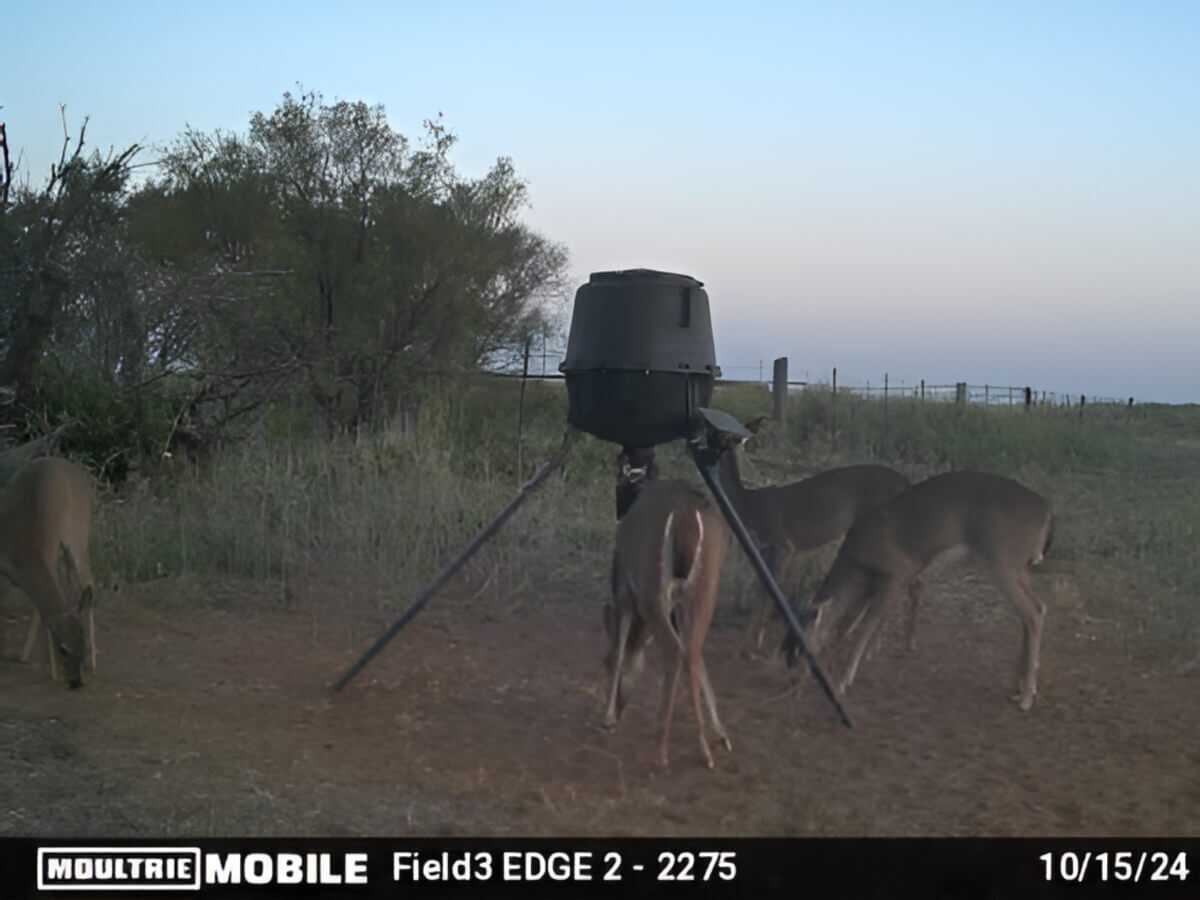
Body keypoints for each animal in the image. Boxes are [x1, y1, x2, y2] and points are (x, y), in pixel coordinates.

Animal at [0, 456, 97, 688]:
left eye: (82, 645)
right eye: (63, 649)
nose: (76, 682)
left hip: (71, 536)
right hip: (74, 539)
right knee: (83, 583)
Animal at [602, 478, 731, 770]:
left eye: (601, 662)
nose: (620, 705)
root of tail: (687, 515)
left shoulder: (625, 593)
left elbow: (619, 651)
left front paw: (608, 718)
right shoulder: (677, 606)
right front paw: (721, 734)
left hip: (652, 586)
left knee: (674, 650)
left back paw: (661, 749)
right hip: (706, 587)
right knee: (692, 651)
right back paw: (705, 749)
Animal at [714, 417, 913, 655]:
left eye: (741, 440)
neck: (748, 505)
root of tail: (905, 482)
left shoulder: (784, 545)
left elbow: (768, 590)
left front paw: (752, 644)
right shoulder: (770, 548)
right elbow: (765, 586)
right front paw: (757, 638)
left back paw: (890, 643)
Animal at [785, 470, 1055, 710]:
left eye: (800, 646)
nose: (792, 682)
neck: (859, 562)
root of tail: (1047, 510)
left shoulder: (897, 573)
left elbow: (865, 626)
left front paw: (842, 681)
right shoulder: (876, 585)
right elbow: (845, 626)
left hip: (1002, 560)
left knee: (1033, 613)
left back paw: (1026, 698)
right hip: (1019, 567)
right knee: (1036, 608)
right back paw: (1017, 687)